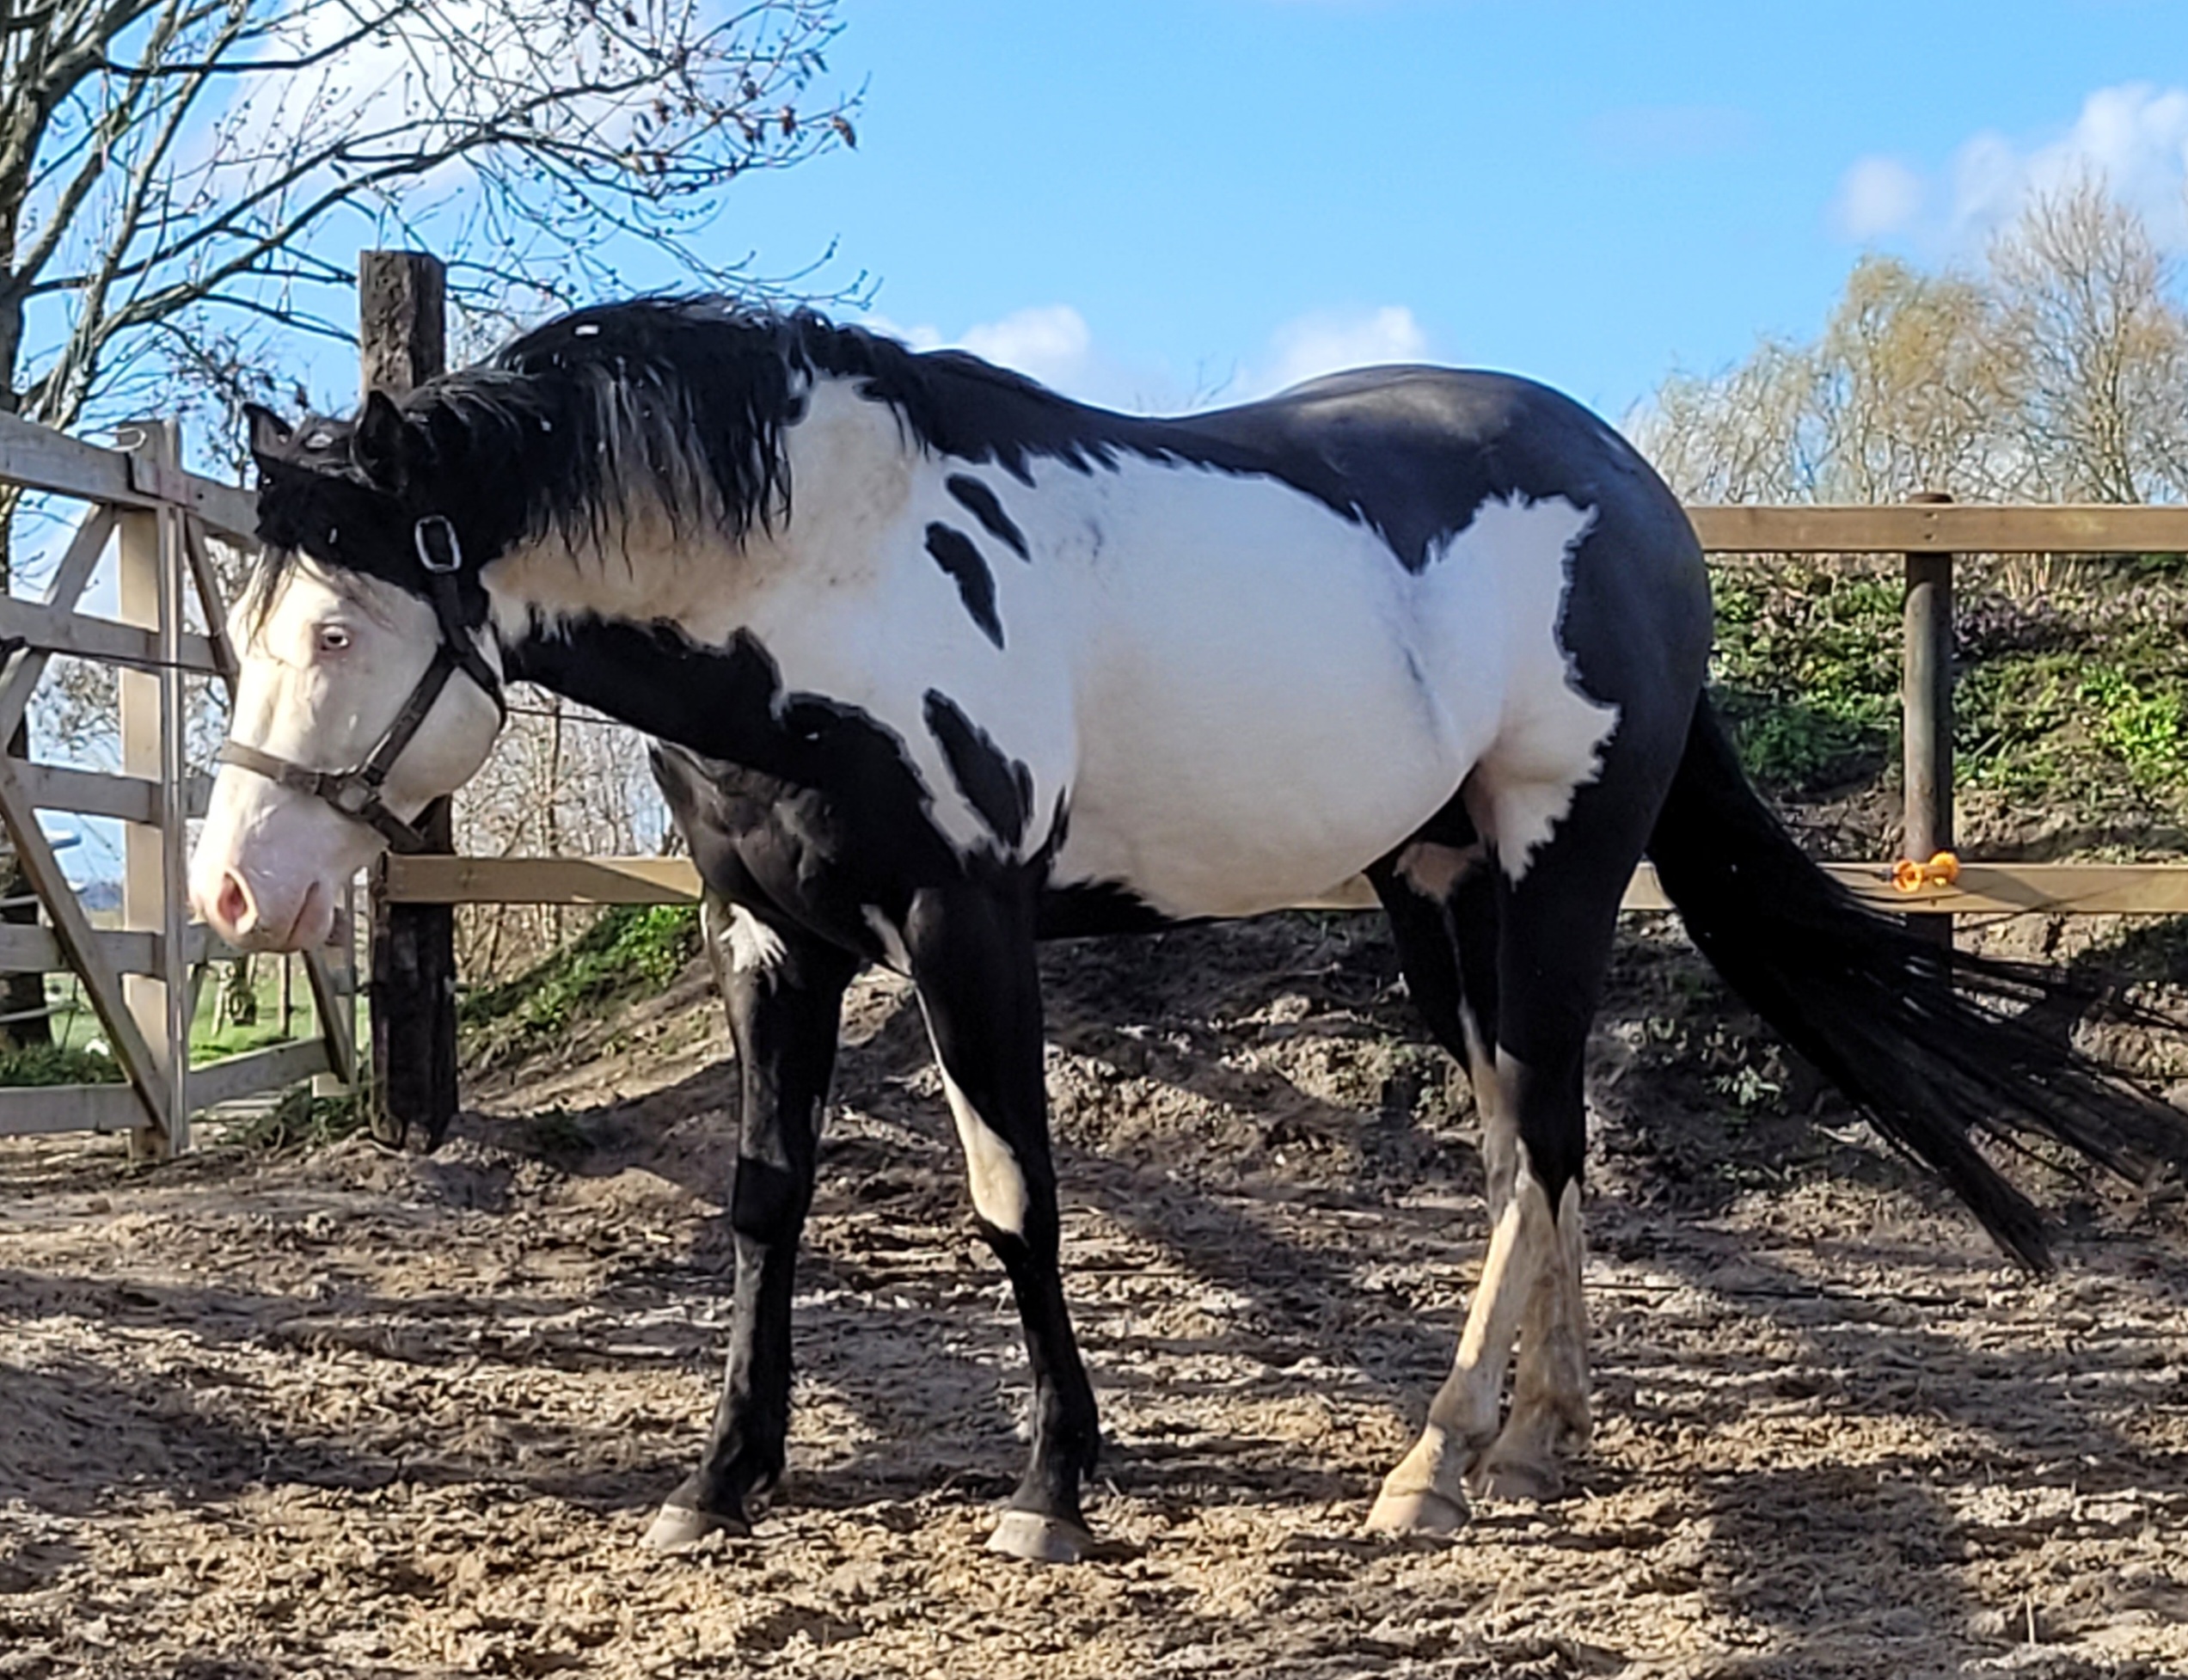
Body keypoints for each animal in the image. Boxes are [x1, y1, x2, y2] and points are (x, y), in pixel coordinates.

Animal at [190, 298, 2188, 1564]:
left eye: (339, 629)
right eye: (248, 621)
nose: (235, 890)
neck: (826, 571)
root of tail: (1634, 492)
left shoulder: (963, 917)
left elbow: (1014, 1194)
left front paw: (1053, 1484)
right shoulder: (770, 938)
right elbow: (763, 1204)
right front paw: (719, 1480)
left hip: (1558, 861)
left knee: (1545, 1124)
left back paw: (1436, 1462)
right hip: (1434, 883)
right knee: (1522, 1137)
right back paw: (1539, 1430)